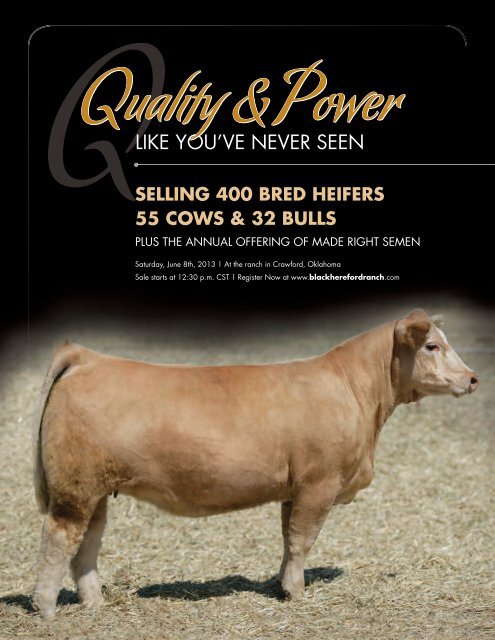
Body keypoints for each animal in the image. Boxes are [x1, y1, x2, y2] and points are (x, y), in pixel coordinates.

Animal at [31, 309, 478, 617]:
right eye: (432, 346)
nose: (473, 378)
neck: (356, 395)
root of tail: (88, 356)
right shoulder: (320, 483)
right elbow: (303, 539)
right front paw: (297, 592)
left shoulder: (294, 488)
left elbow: (287, 537)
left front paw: (282, 584)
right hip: (74, 488)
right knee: (60, 537)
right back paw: (46, 608)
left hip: (96, 489)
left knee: (88, 542)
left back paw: (94, 602)